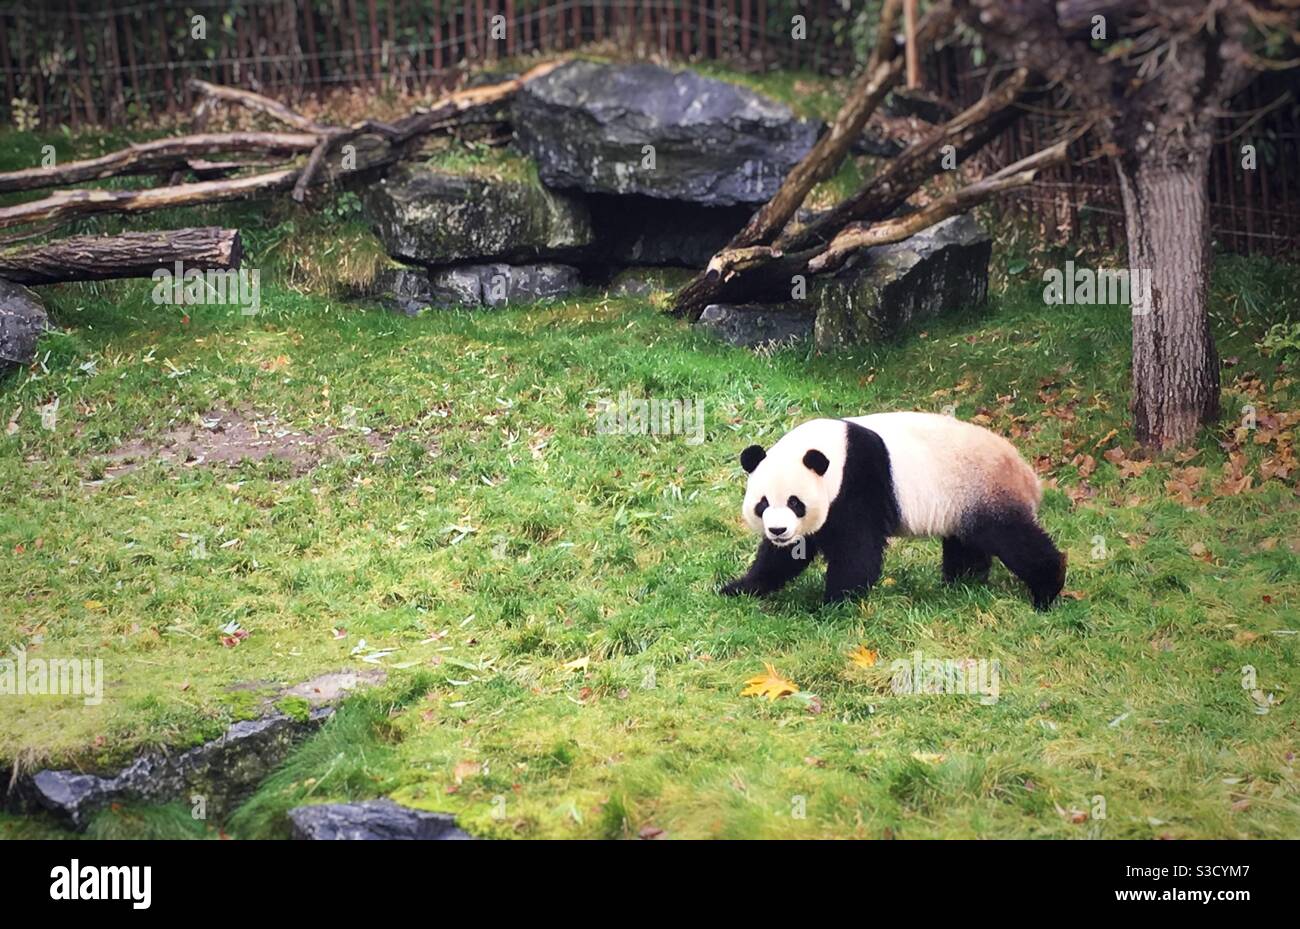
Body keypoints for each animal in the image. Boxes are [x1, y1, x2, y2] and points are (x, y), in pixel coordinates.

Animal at [720, 411, 1066, 610]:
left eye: (795, 502)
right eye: (763, 503)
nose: (778, 530)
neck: (832, 450)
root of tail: (1027, 474)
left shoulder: (857, 482)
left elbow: (857, 552)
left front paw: (833, 604)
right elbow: (784, 558)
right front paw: (739, 588)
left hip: (985, 488)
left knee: (1012, 538)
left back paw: (1046, 590)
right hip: (962, 501)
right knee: (966, 543)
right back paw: (962, 584)